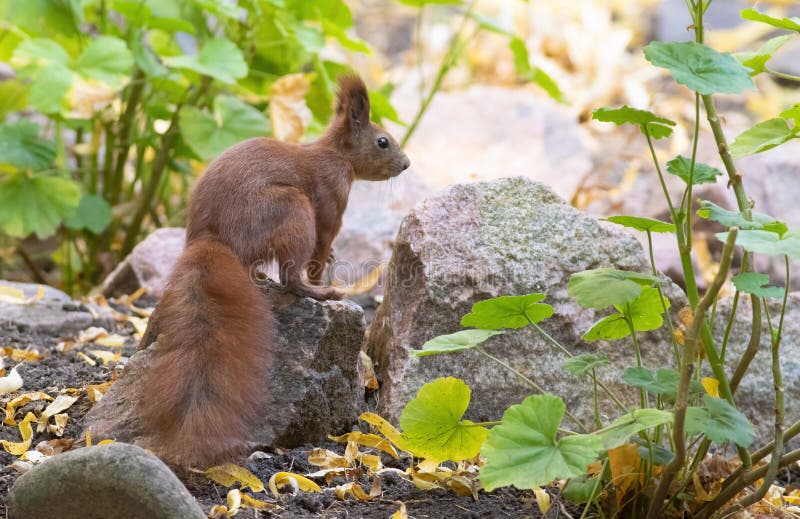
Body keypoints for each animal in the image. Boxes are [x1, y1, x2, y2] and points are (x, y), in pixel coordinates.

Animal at [136, 75, 410, 468]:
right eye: (382, 141)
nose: (406, 164)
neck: (336, 156)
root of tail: (209, 236)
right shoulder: (330, 201)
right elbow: (321, 247)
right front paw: (322, 276)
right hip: (291, 209)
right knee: (291, 279)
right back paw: (320, 293)